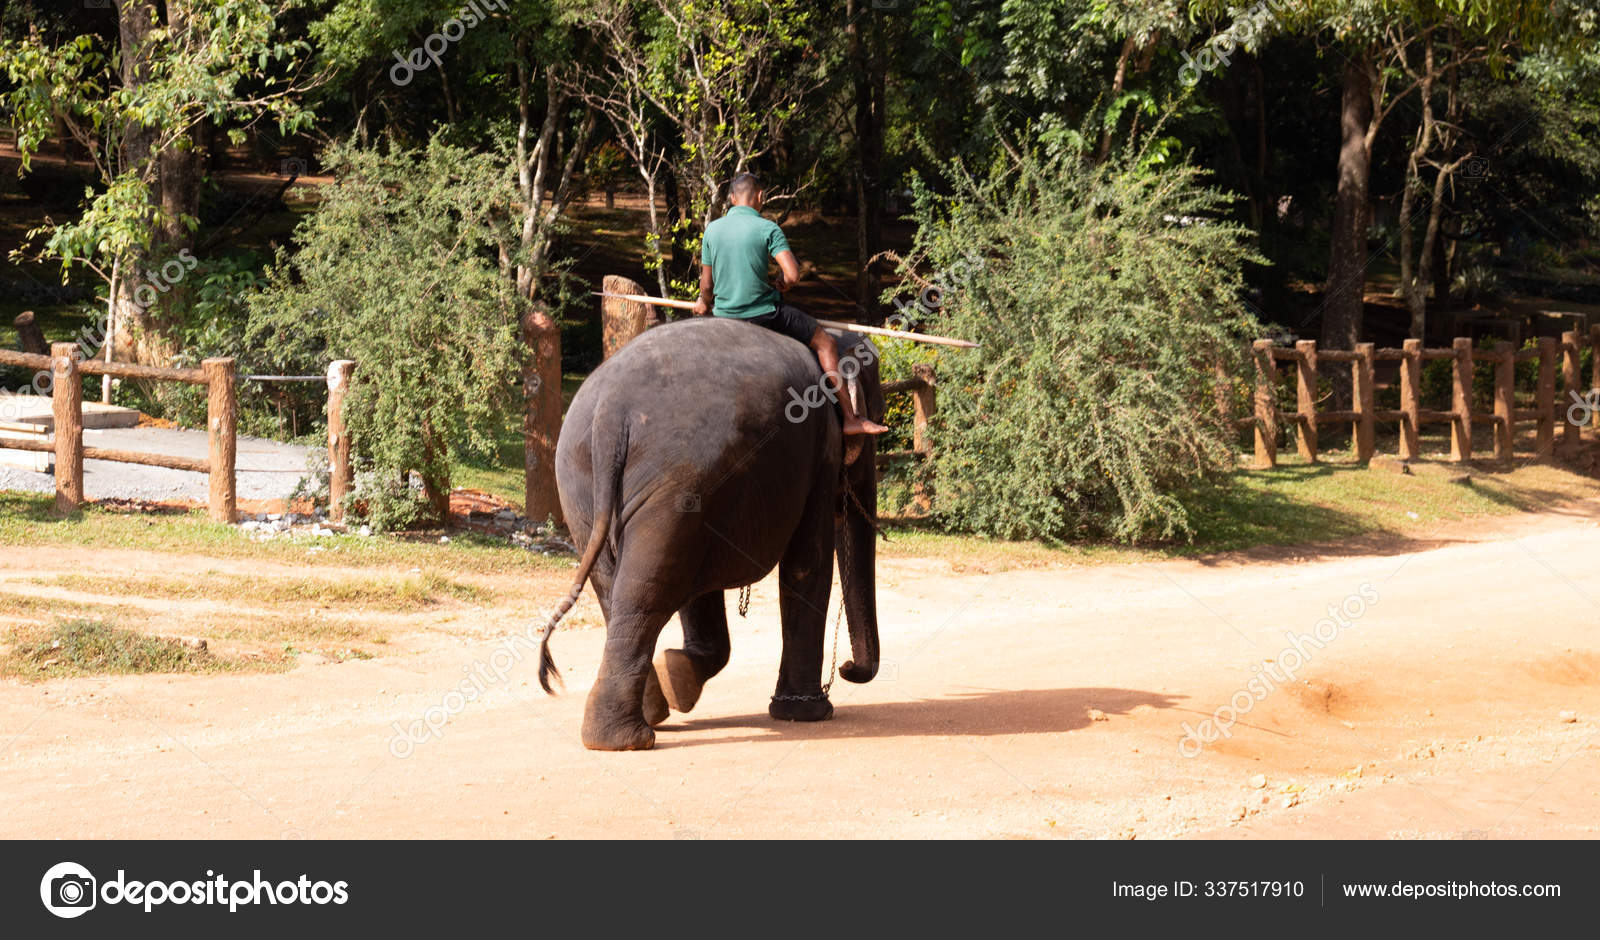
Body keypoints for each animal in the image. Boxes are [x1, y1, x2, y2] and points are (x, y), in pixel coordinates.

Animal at [536, 316, 884, 751]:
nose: (849, 667)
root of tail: (609, 414)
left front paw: (678, 678)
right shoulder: (822, 451)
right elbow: (807, 564)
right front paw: (808, 714)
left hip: (596, 486)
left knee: (625, 588)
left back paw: (638, 722)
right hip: (679, 481)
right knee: (648, 590)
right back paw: (629, 737)